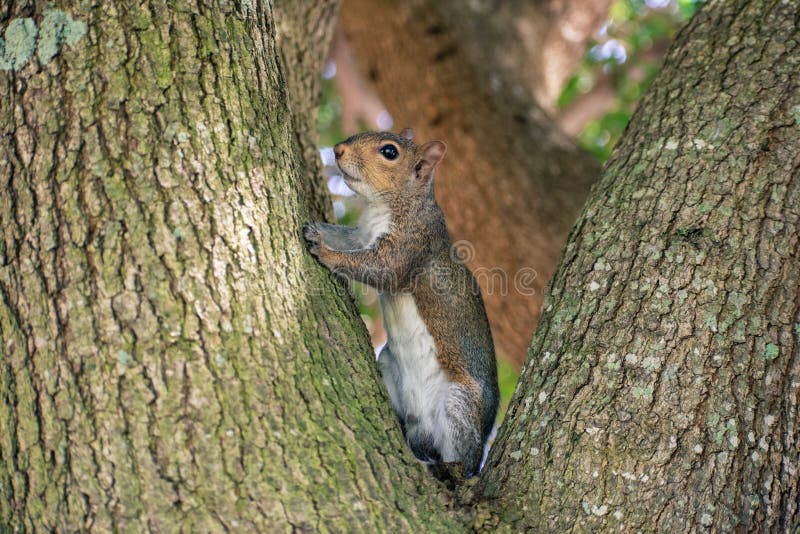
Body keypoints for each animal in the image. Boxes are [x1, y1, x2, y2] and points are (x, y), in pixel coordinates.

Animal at [304, 128, 499, 478]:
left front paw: (325, 252)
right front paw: (318, 228)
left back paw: (449, 469)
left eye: (390, 152)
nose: (337, 150)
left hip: (460, 403)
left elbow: (382, 270)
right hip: (389, 365)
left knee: (459, 456)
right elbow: (346, 238)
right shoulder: (362, 235)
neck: (389, 205)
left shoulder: (411, 243)